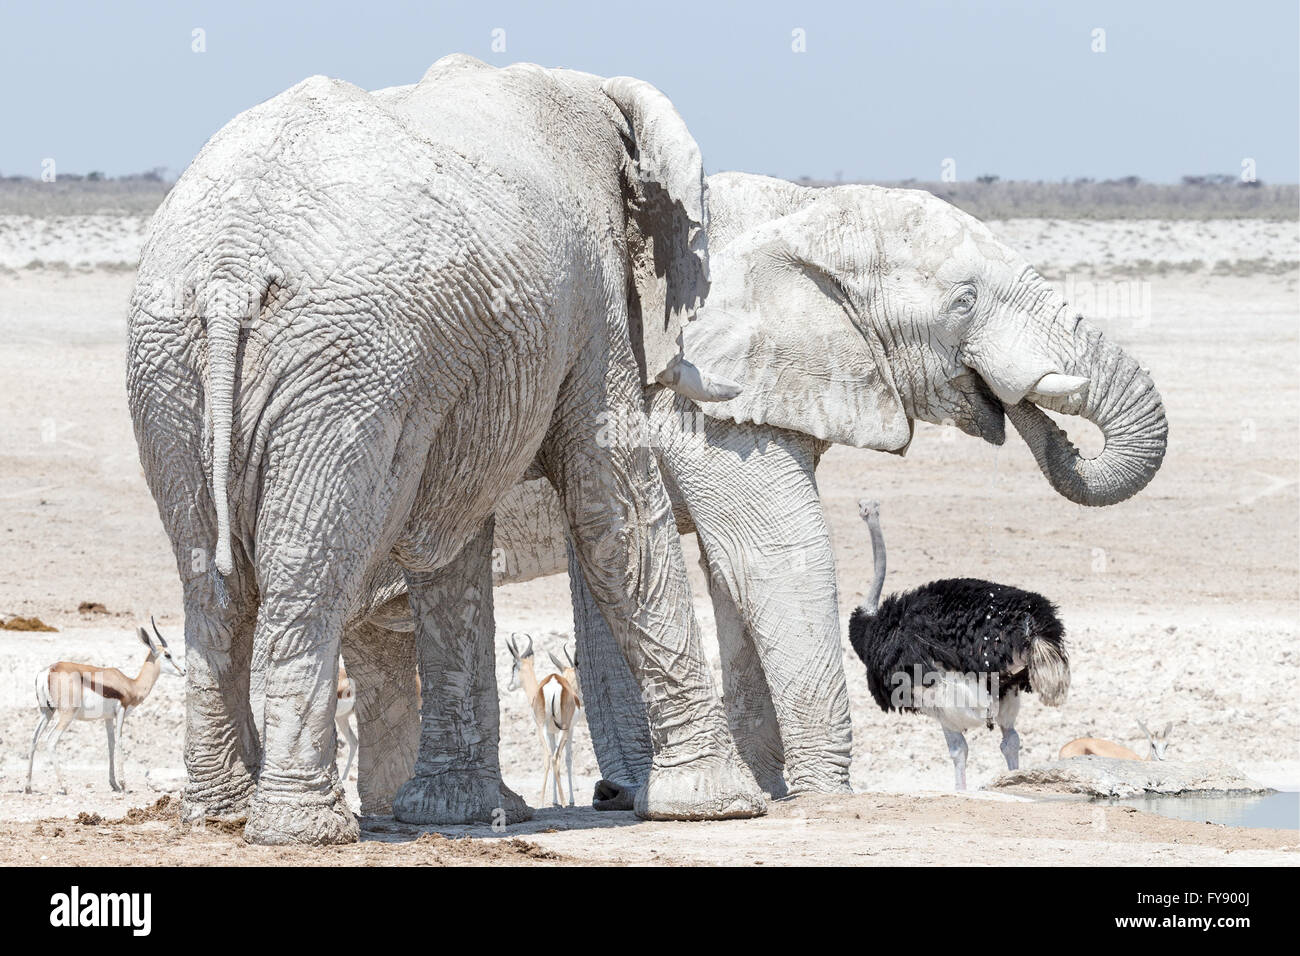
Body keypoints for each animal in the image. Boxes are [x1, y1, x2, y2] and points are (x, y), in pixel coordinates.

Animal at [126, 57, 769, 846]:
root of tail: (231, 268)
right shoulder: (591, 295)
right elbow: (612, 506)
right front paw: (722, 805)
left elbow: (453, 544)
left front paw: (460, 813)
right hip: (343, 367)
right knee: (304, 568)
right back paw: (304, 829)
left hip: (173, 360)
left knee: (209, 583)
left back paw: (223, 814)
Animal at [339, 171, 1168, 811]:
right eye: (963, 303)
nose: (1023, 407)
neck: (802, 211)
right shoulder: (693, 396)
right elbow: (770, 554)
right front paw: (822, 797)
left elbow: (716, 569)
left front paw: (756, 793)